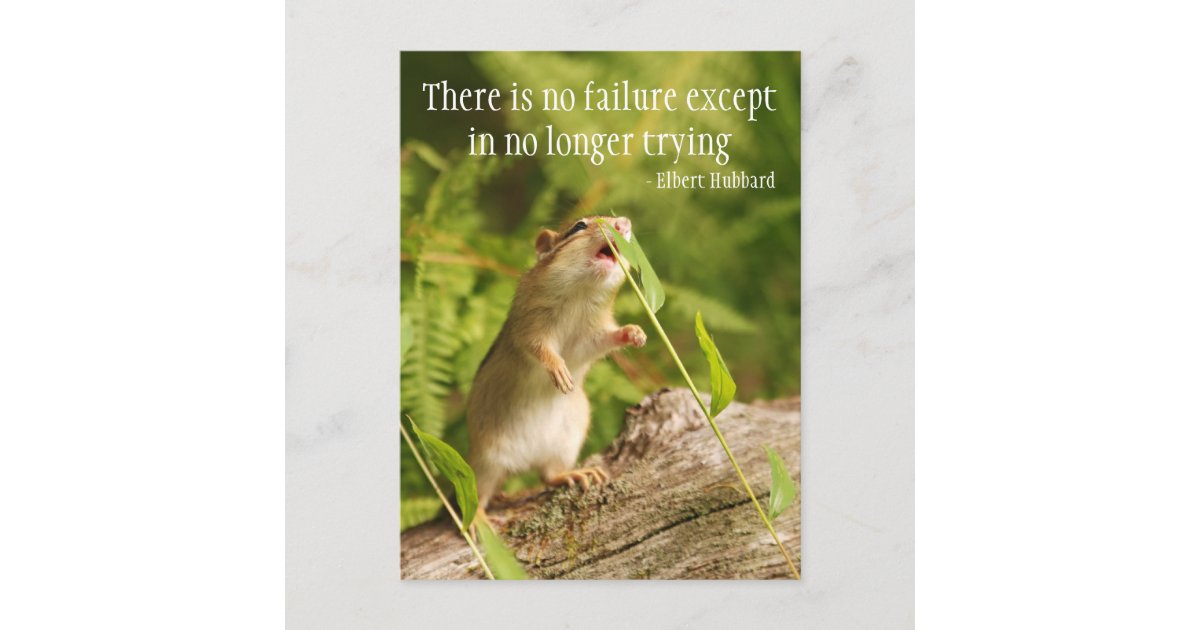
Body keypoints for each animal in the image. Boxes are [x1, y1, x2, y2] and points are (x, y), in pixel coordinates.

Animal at [466, 215, 646, 524]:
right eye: (579, 226)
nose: (623, 222)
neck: (581, 294)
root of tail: (523, 463)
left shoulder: (587, 338)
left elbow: (601, 342)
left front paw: (634, 333)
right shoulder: (529, 326)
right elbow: (540, 348)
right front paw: (559, 370)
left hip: (566, 444)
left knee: (549, 475)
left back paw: (576, 473)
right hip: (486, 459)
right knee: (477, 494)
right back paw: (477, 519)